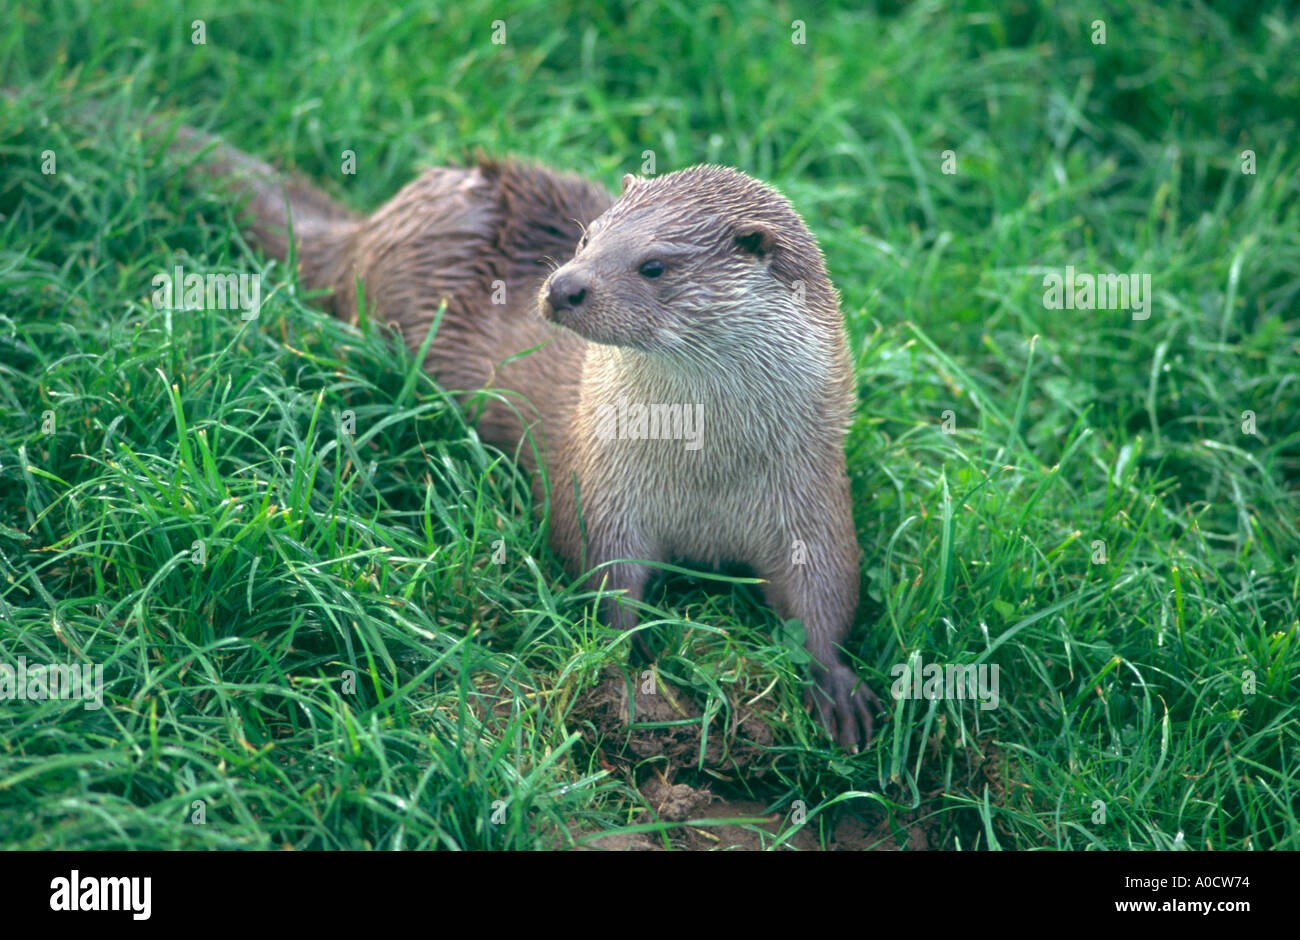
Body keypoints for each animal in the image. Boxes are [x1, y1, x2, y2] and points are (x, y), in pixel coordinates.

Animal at [169, 125, 880, 748]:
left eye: (653, 265)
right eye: (588, 238)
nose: (564, 285)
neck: (704, 470)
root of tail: (372, 225)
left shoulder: (812, 496)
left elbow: (827, 594)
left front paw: (838, 689)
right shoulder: (600, 492)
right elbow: (606, 586)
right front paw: (630, 679)